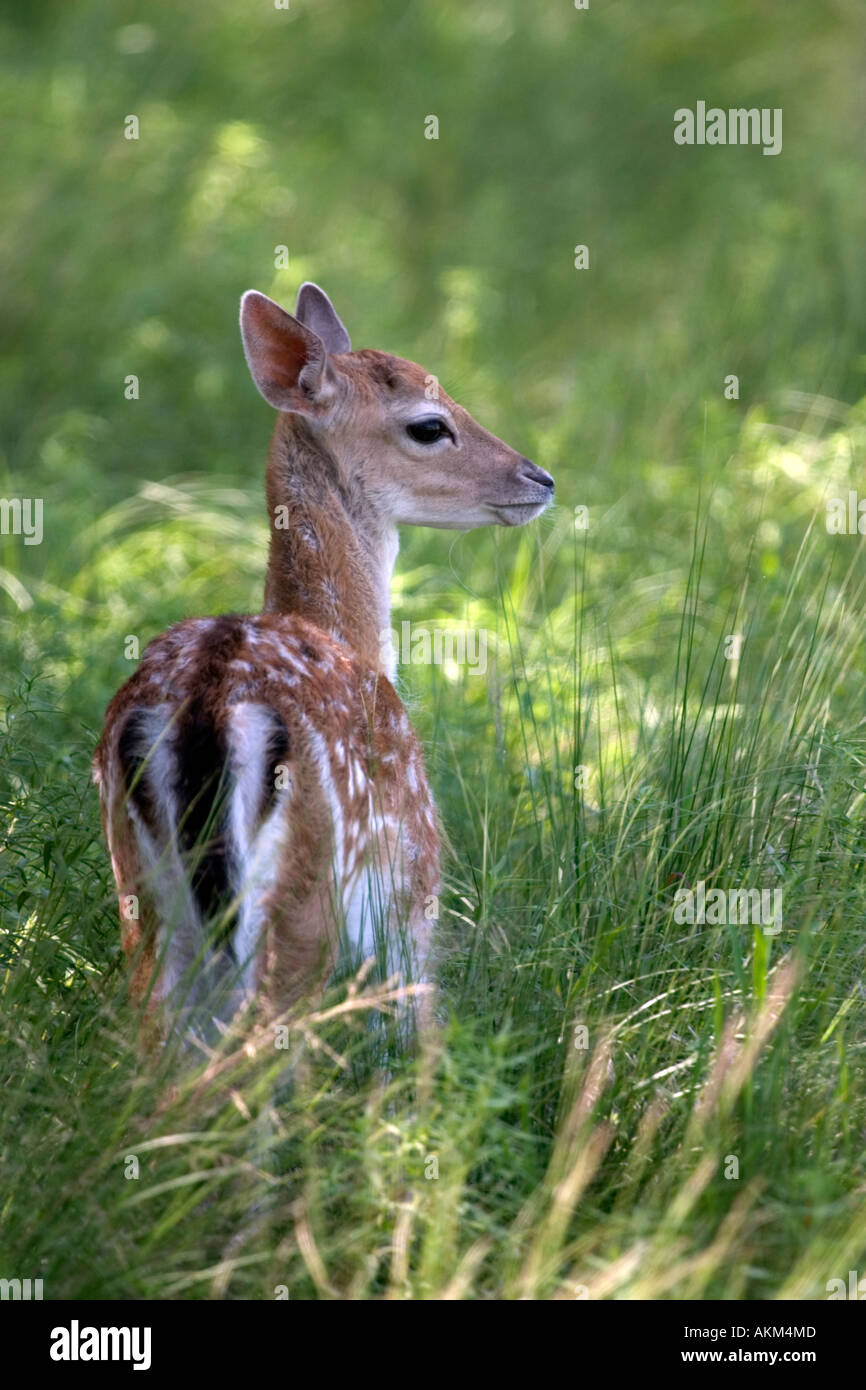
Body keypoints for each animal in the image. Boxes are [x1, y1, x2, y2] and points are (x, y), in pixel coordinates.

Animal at [93, 283, 554, 1047]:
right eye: (429, 425)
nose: (540, 479)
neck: (348, 637)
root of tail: (207, 712)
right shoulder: (411, 884)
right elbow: (419, 1027)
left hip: (142, 897)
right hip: (306, 905)